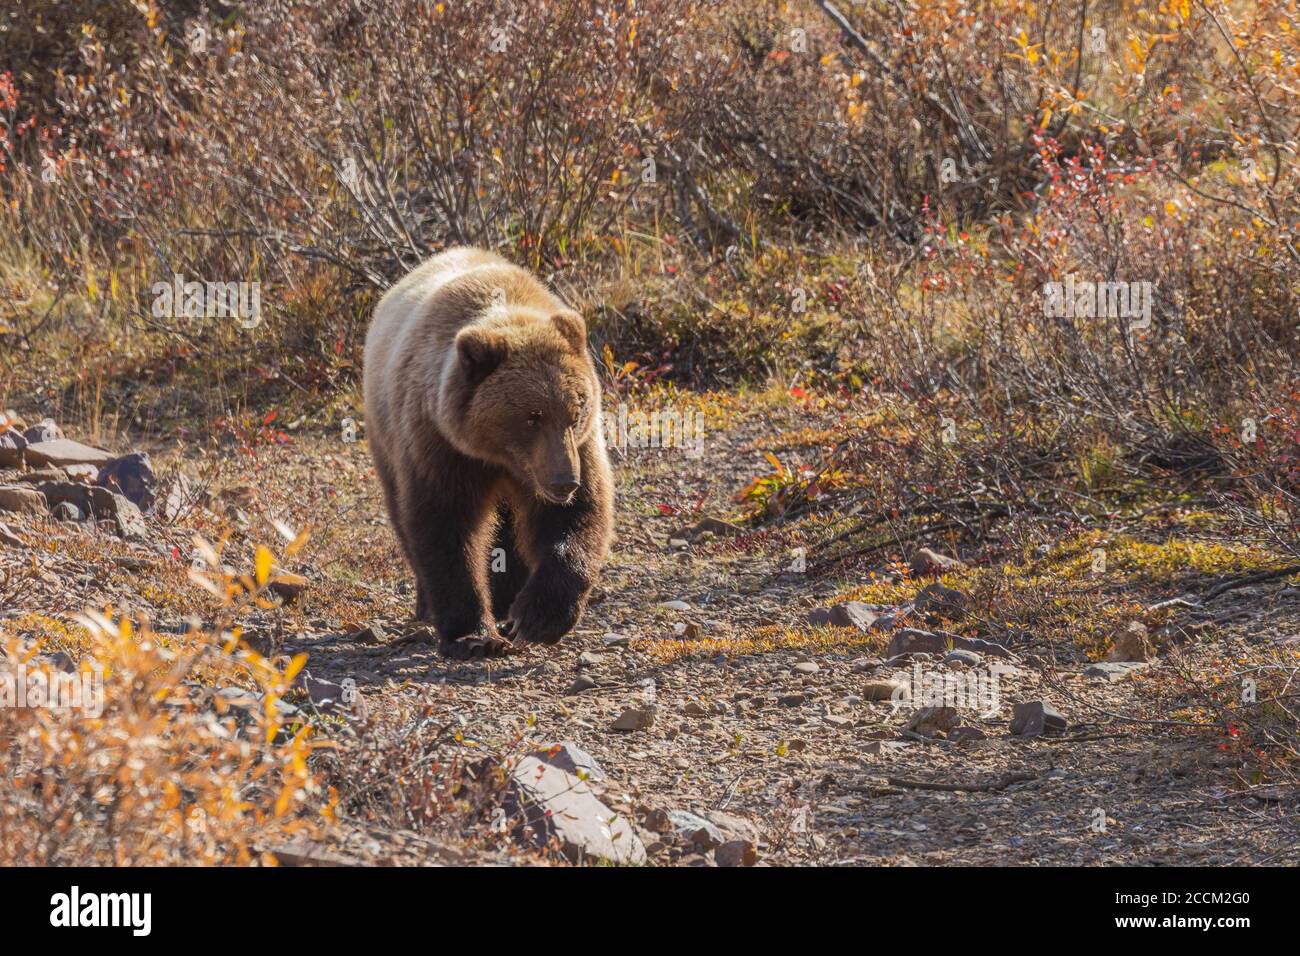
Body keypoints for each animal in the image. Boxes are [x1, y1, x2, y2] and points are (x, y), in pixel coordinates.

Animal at [363, 247, 614, 658]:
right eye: (532, 416)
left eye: (576, 410)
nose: (564, 481)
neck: (500, 455)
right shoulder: (440, 444)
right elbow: (445, 523)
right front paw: (471, 632)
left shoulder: (579, 448)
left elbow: (577, 516)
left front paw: (537, 617)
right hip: (386, 433)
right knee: (402, 512)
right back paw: (429, 604)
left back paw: (507, 597)